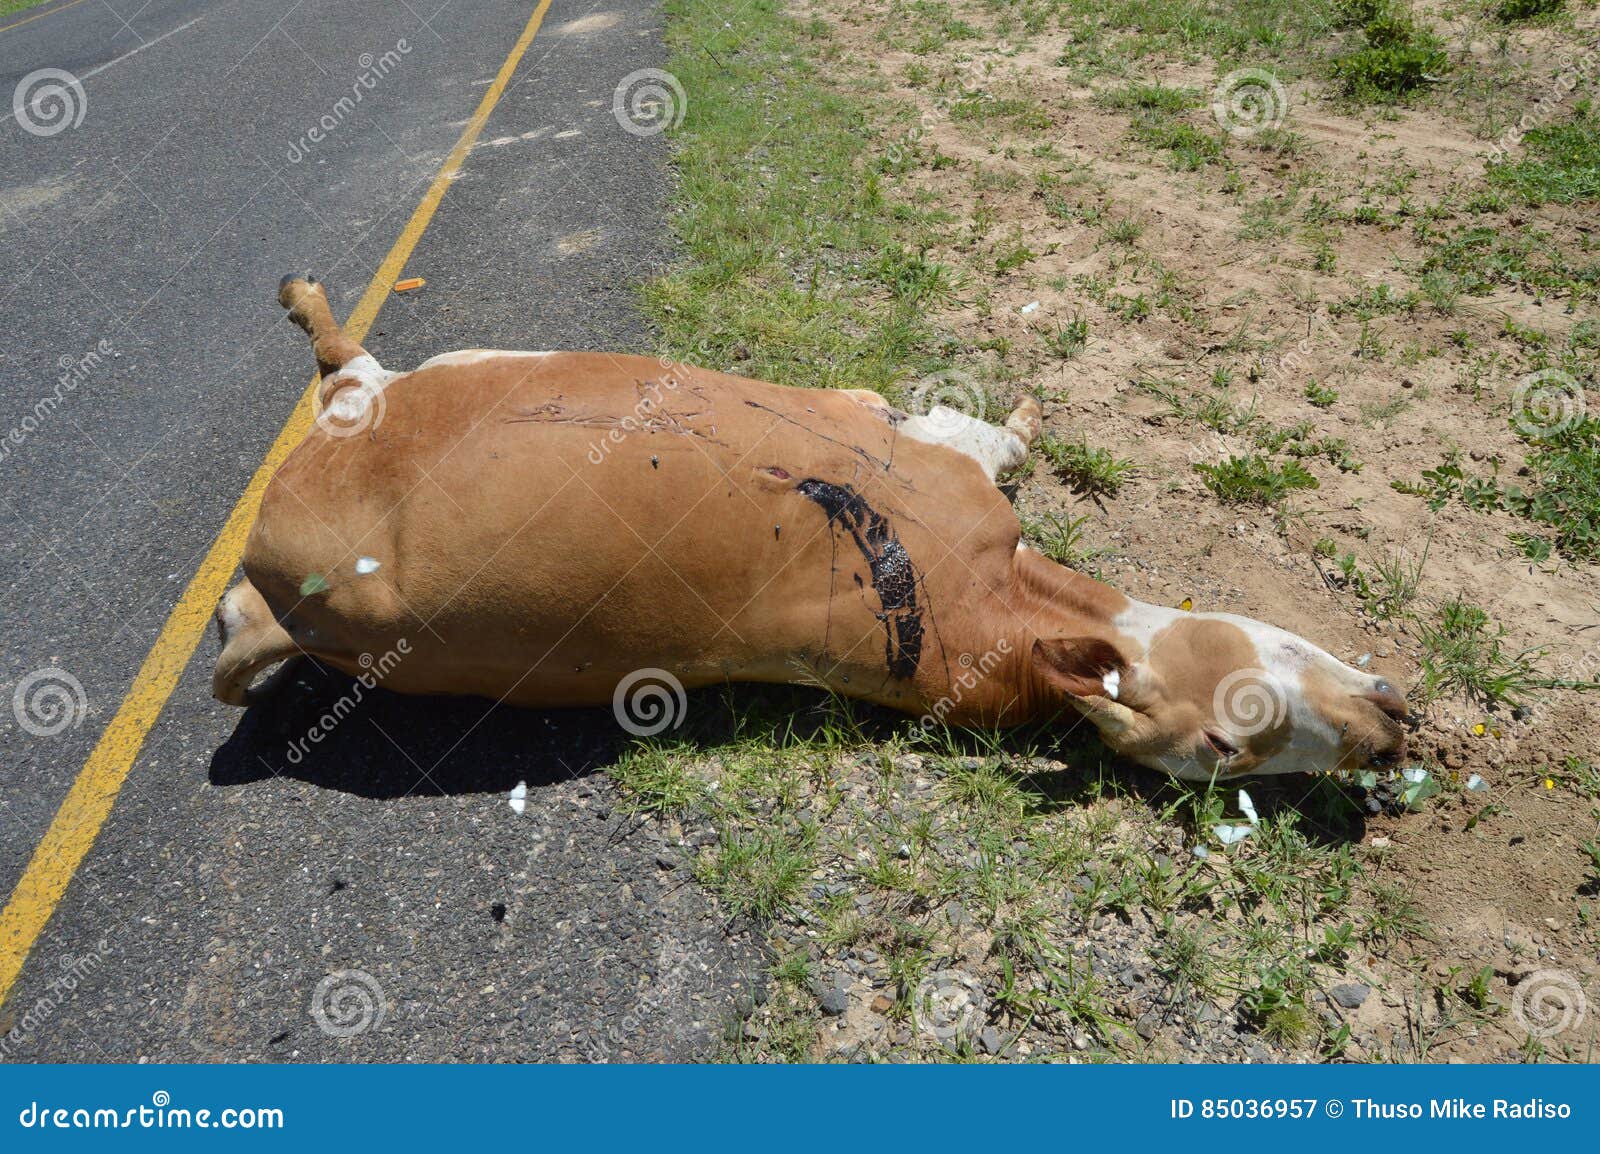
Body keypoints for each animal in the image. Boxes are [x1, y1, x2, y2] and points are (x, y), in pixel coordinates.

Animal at [212, 277, 1409, 781]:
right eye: (1227, 740)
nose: (1383, 742)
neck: (1004, 606)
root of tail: (282, 594)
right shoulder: (941, 446)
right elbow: (1003, 433)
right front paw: (1033, 410)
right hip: (369, 407)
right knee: (343, 358)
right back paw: (303, 296)